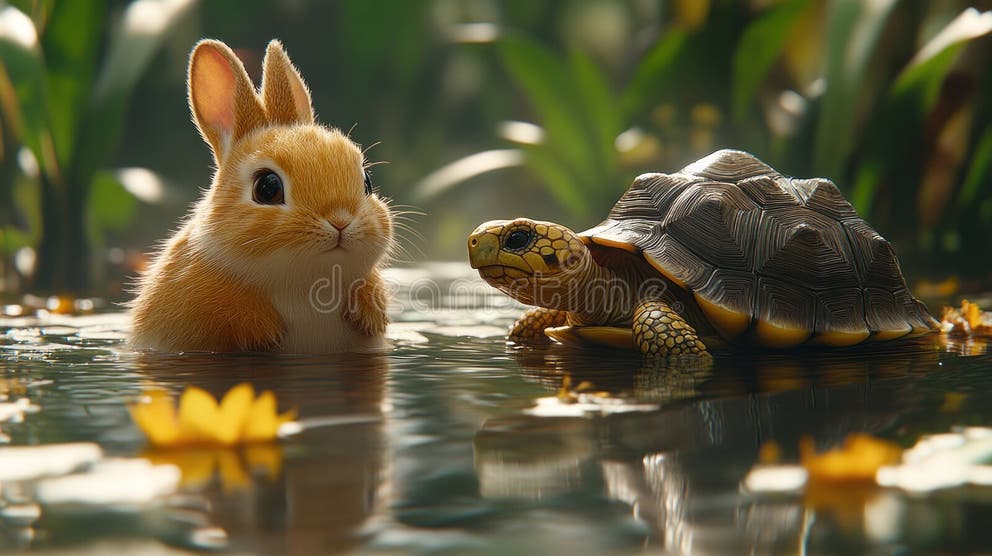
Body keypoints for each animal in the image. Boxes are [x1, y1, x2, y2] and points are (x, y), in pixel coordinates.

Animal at [129, 39, 393, 353]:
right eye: (267, 188)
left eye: (367, 182)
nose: (340, 220)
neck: (305, 286)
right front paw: (264, 329)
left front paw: (367, 312)